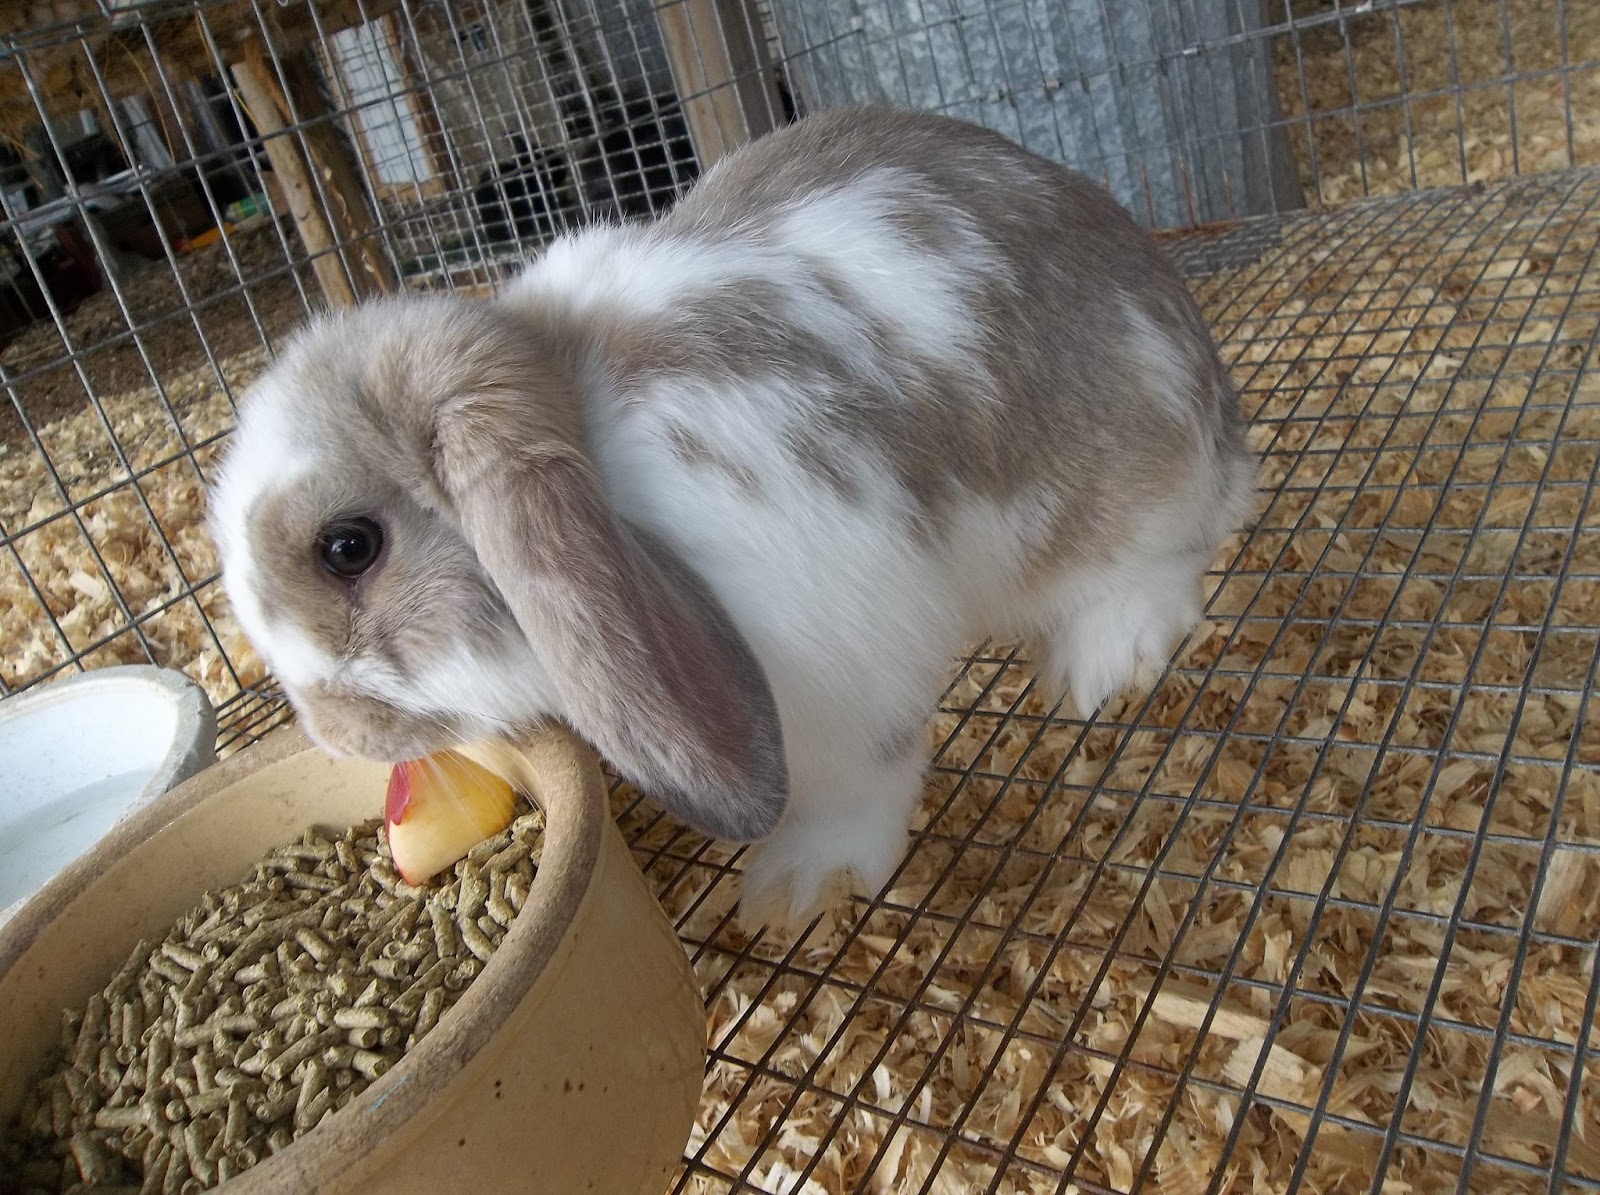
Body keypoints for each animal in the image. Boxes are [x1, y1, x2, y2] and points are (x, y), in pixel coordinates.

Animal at [208, 106, 1257, 934]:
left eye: (348, 546)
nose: (335, 731)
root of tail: (1221, 416)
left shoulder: (846, 664)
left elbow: (854, 785)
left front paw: (796, 887)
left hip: (1132, 485)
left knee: (1164, 558)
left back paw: (1105, 664)